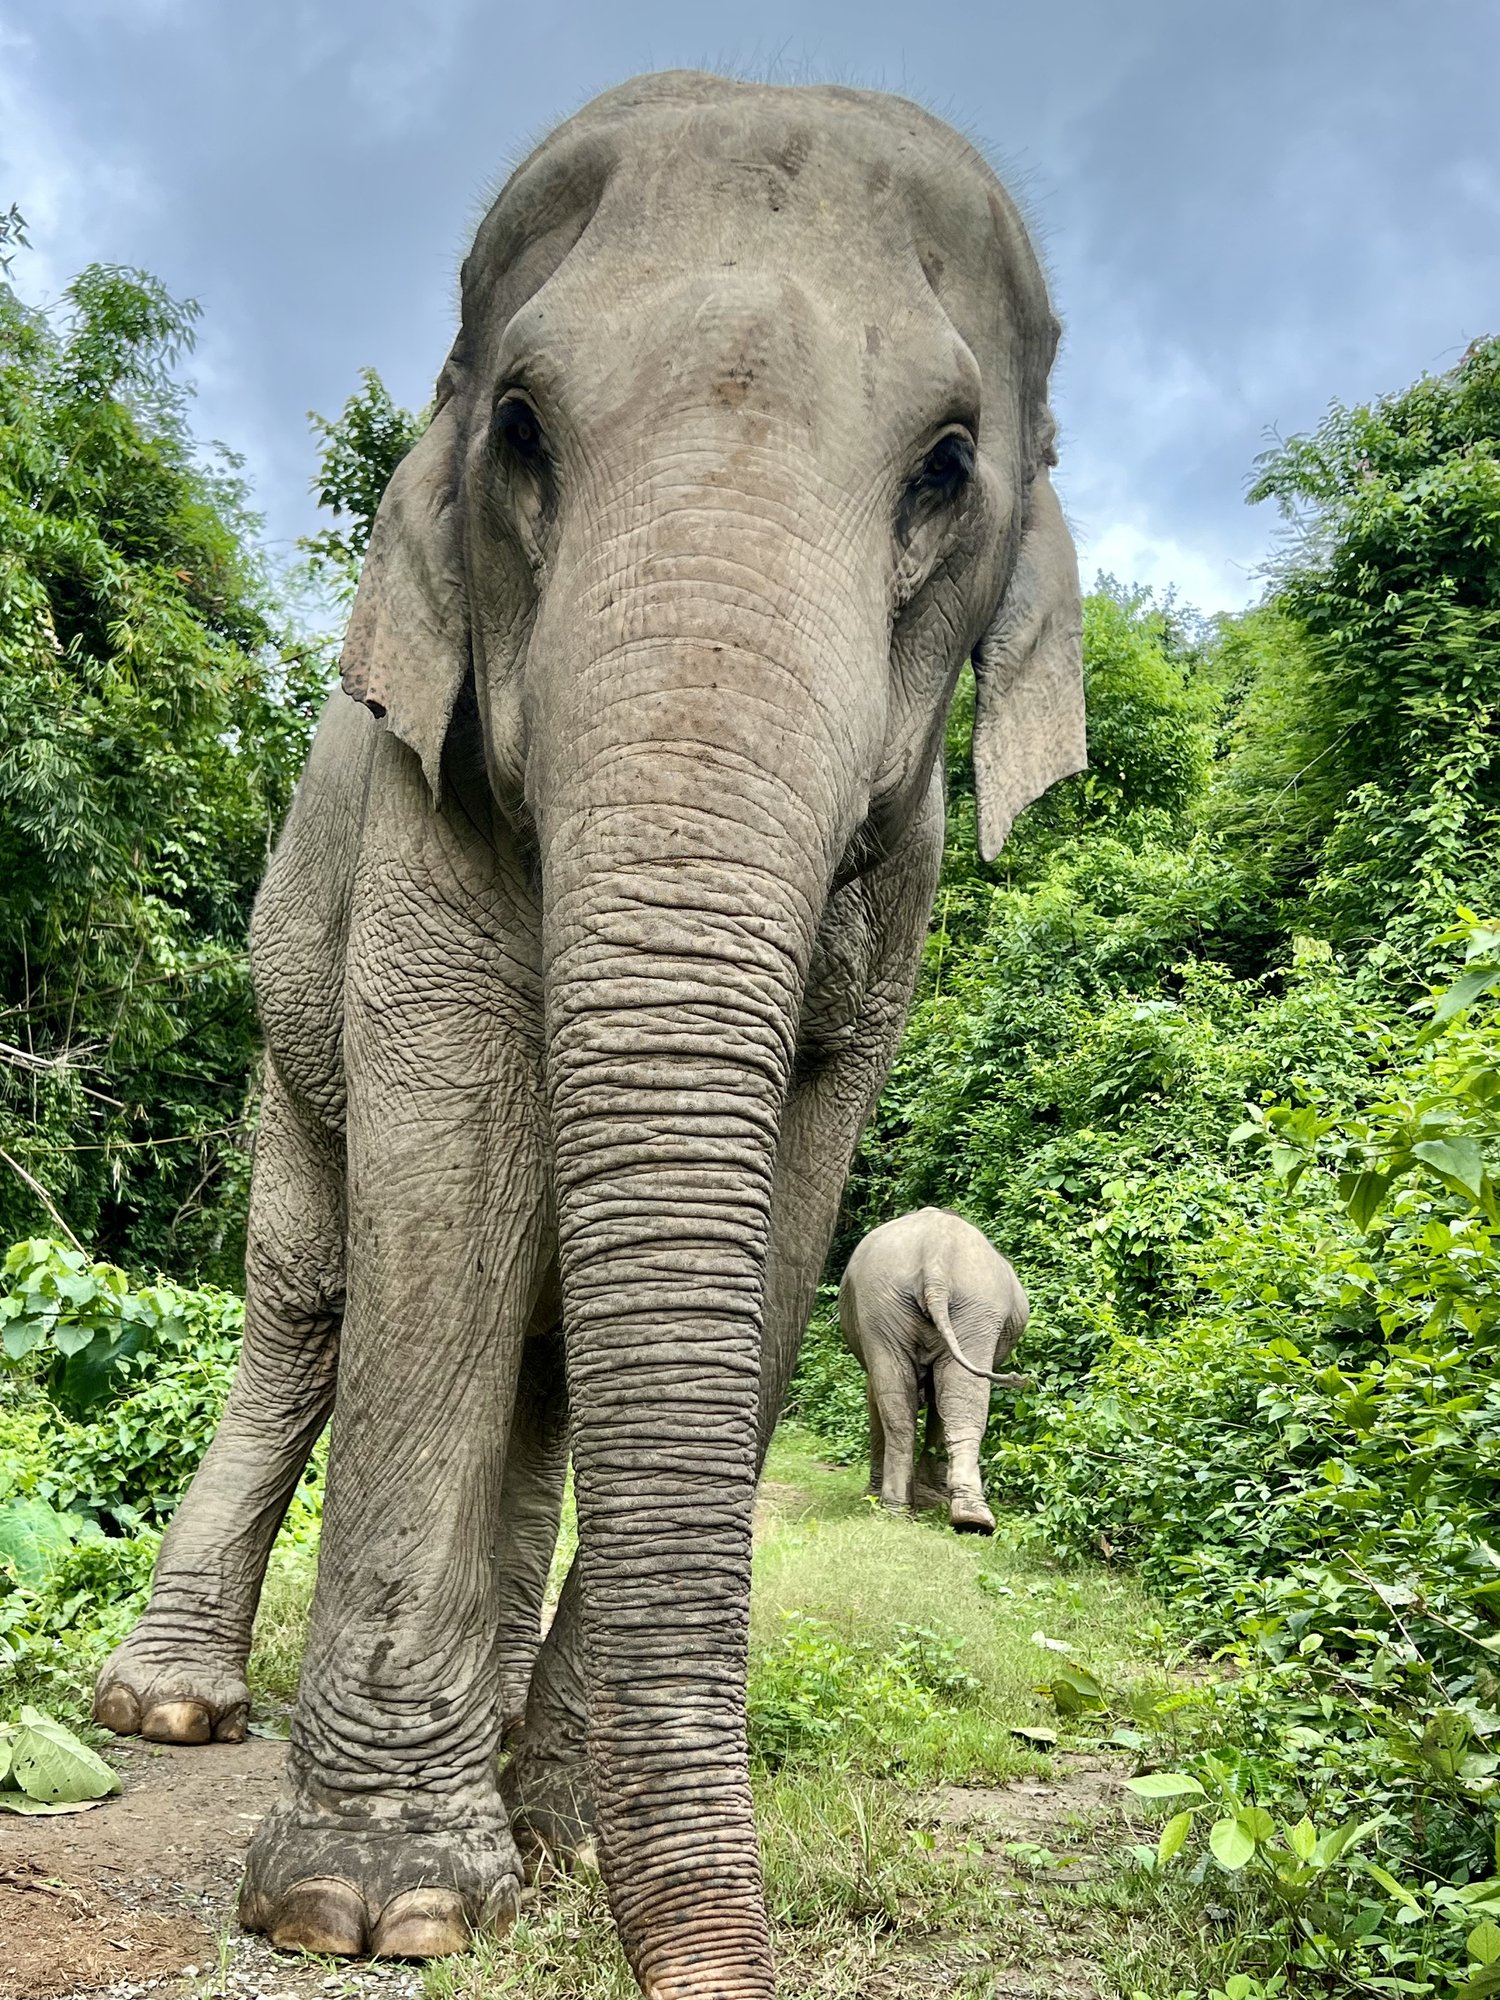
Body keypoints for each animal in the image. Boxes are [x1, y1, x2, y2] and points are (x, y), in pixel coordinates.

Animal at [840, 1208, 1030, 1534]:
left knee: (908, 1403)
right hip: (956, 1306)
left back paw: (909, 1510)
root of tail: (935, 1259)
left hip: (954, 1306)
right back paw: (968, 1519)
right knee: (950, 1397)